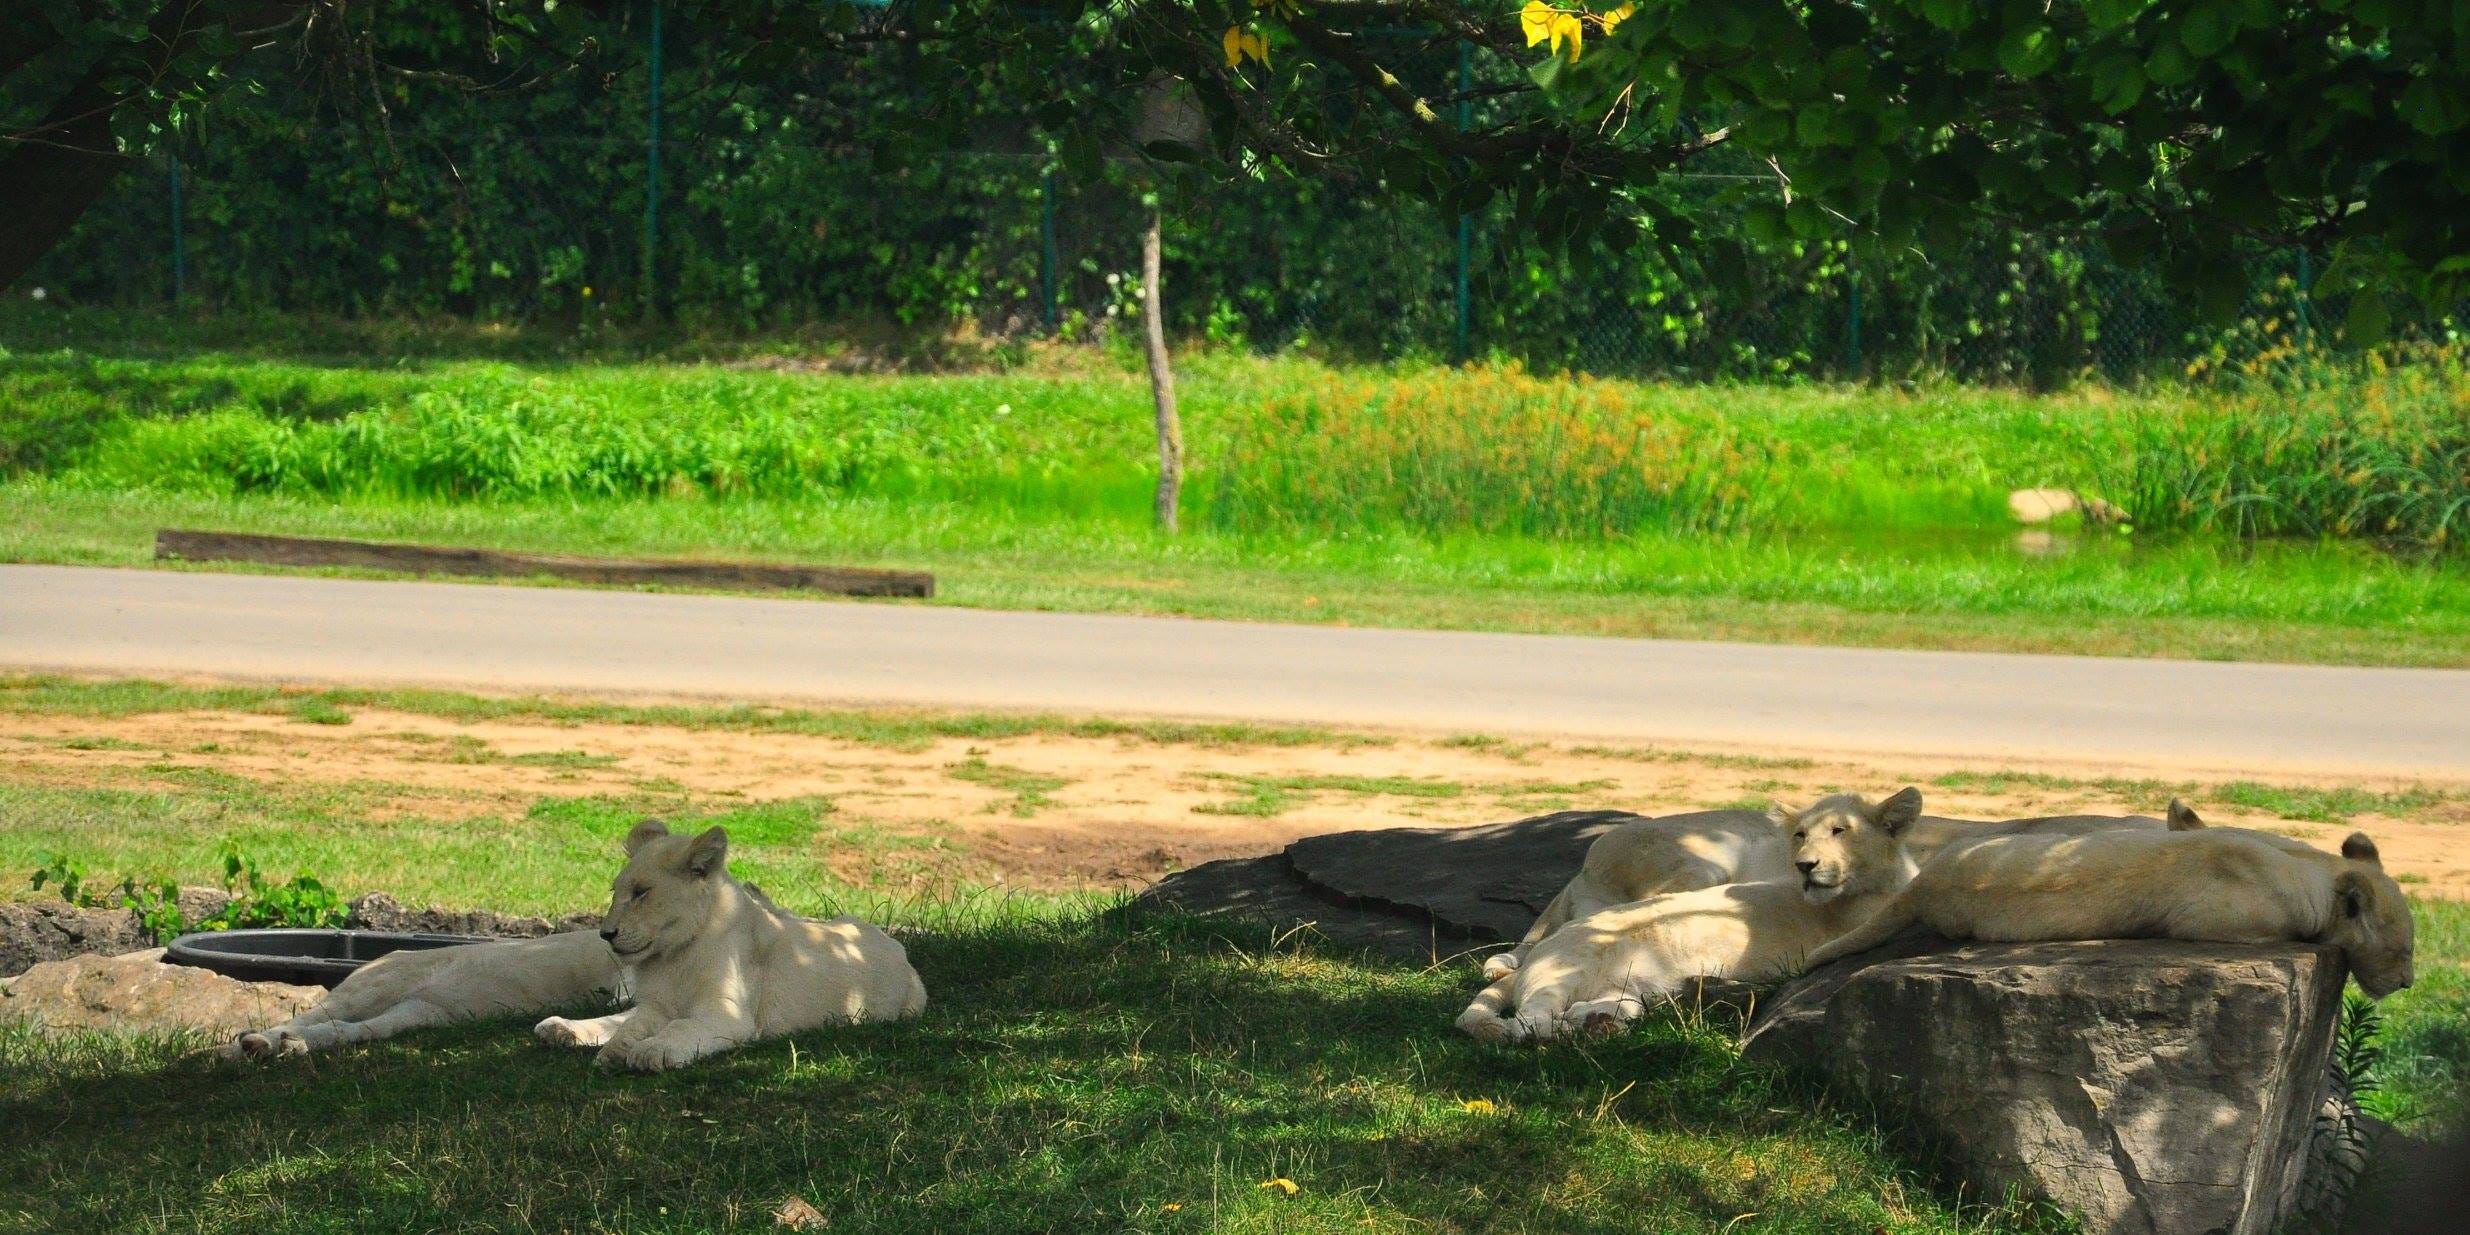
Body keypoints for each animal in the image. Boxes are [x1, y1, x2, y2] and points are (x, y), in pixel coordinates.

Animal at [226, 928, 623, 1059]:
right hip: (373, 987)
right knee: (314, 1016)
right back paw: (251, 1044)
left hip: (417, 1012)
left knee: (353, 1028)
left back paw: (288, 1046)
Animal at [533, 820, 926, 1072]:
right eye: (617, 892)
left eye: (642, 893)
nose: (606, 934)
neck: (673, 957)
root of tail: (899, 949)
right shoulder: (657, 1004)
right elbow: (627, 1024)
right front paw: (616, 1050)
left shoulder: (729, 1014)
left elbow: (682, 1028)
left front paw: (654, 1051)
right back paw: (561, 1029)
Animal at [1455, 789, 1925, 1044]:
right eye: (1799, 835)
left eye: (1839, 831)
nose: (1804, 866)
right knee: (1526, 1022)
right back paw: (1567, 1031)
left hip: (1633, 990)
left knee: (1593, 1009)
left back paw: (1597, 1025)